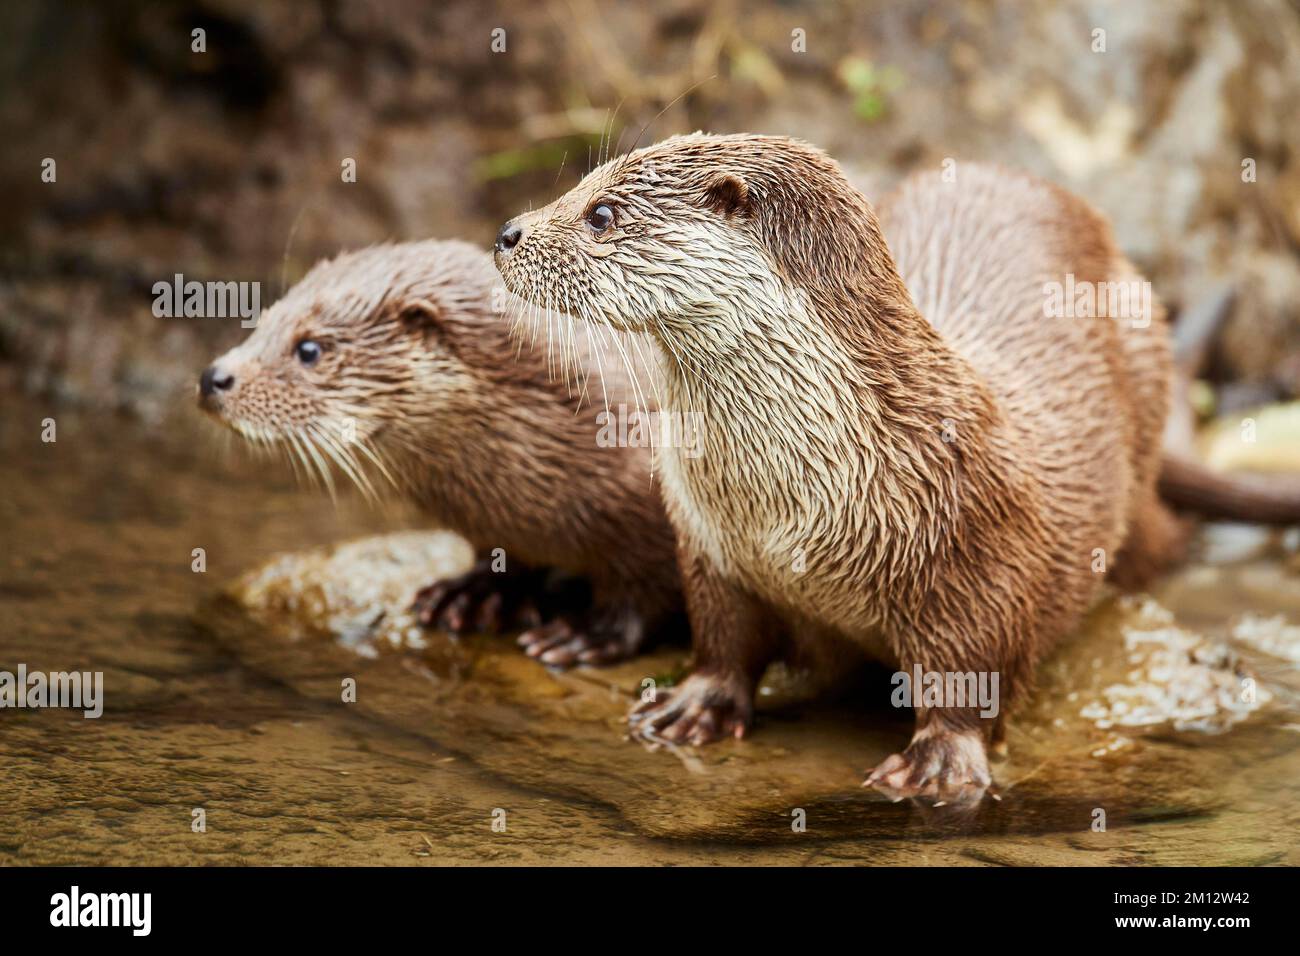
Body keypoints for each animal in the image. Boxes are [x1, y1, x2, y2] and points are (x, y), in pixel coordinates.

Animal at [198, 239, 681, 667]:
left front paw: (586, 634)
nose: (212, 377)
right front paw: (477, 593)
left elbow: (644, 588)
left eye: (309, 349)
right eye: (264, 321)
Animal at [494, 133, 1300, 803]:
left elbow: (970, 672)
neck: (790, 506)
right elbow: (723, 637)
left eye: (601, 213)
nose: (507, 232)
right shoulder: (709, 543)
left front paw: (939, 764)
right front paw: (694, 705)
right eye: (582, 184)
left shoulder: (978, 550)